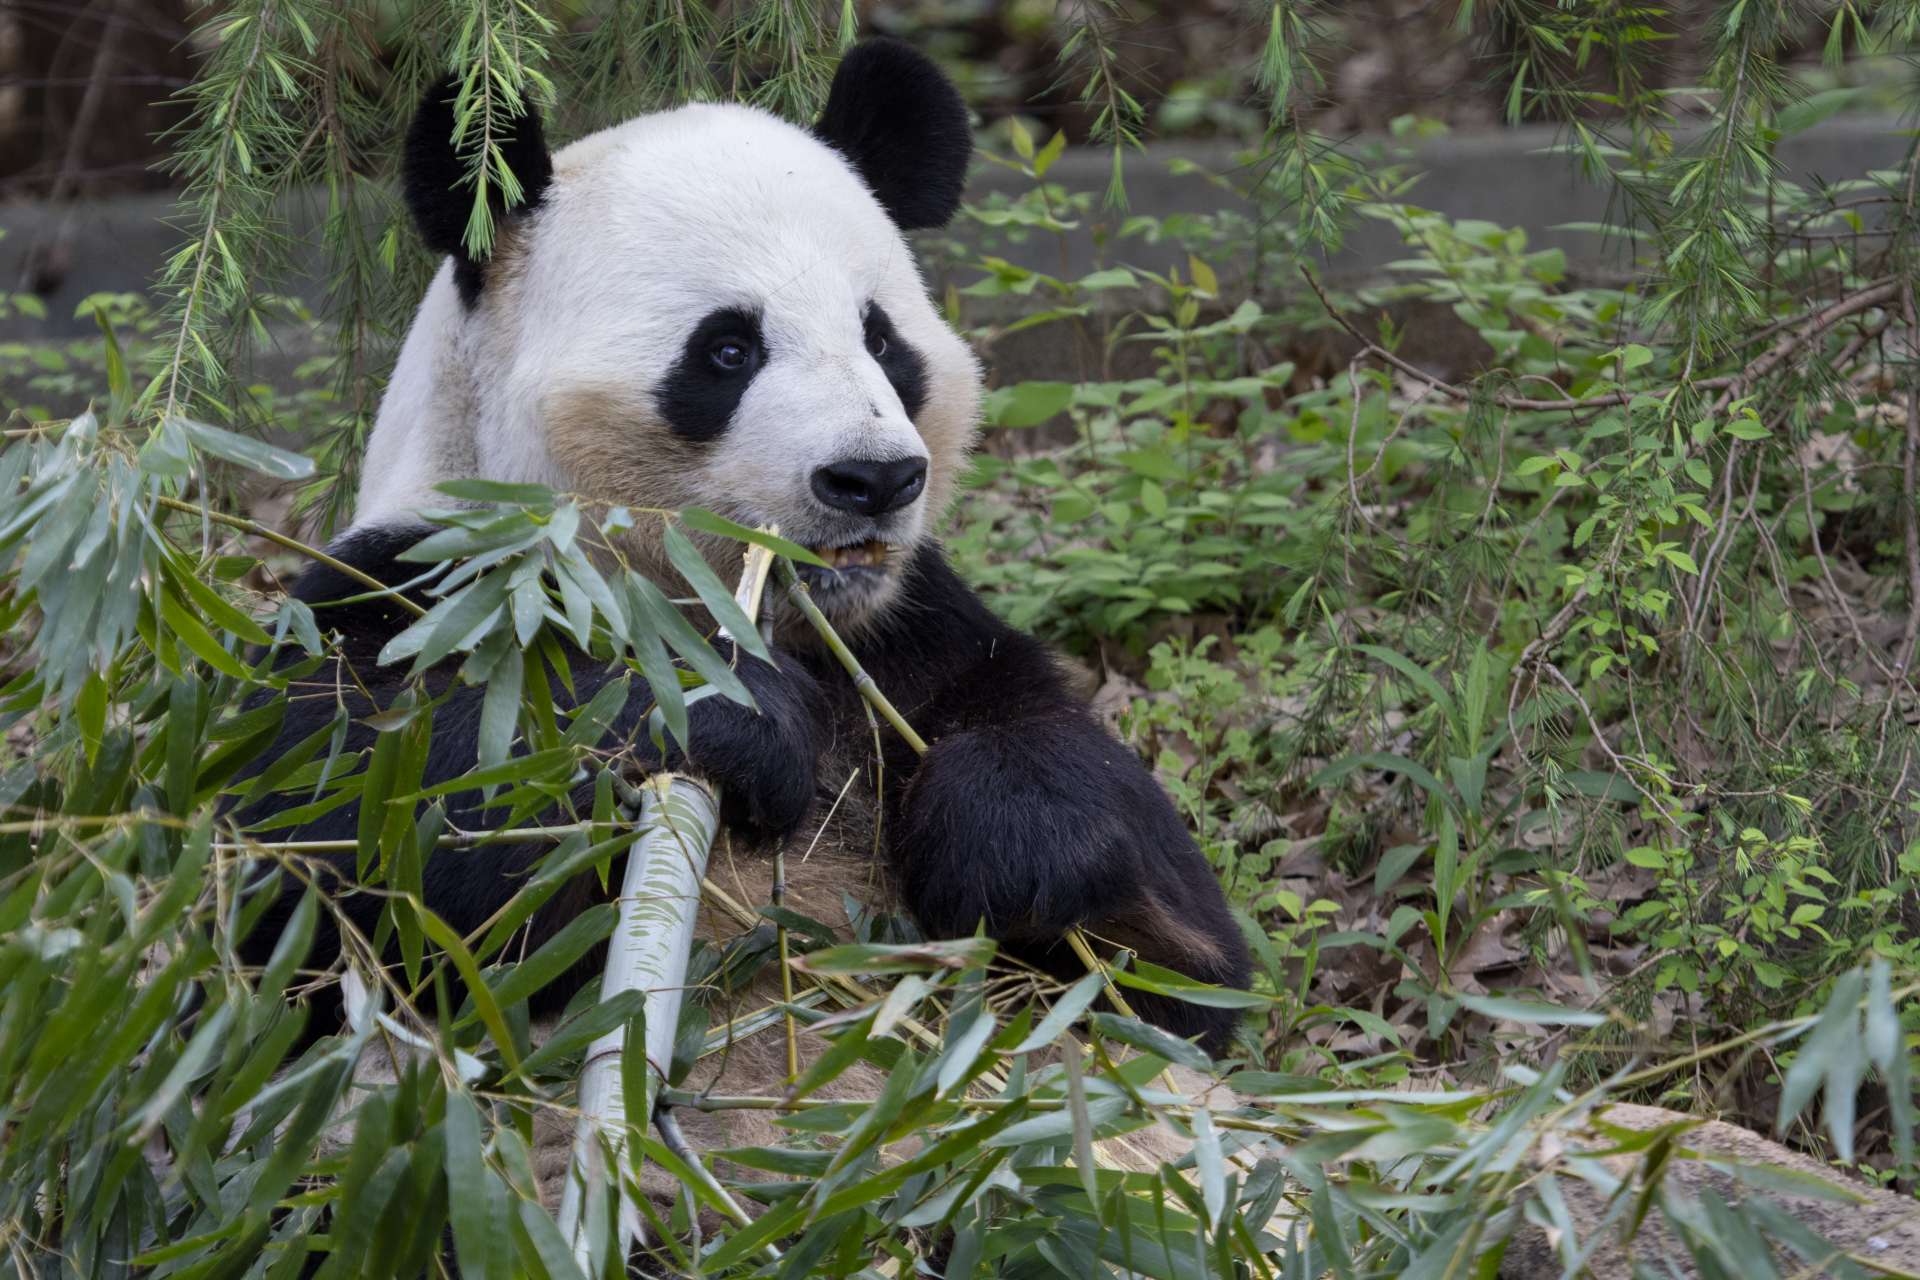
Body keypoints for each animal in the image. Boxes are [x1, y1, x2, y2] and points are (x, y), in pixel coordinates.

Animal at [239, 38, 1251, 1142]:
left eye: (882, 340)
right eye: (728, 349)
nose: (874, 479)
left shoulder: (913, 633)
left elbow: (1178, 967)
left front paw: (1013, 842)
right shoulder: (409, 587)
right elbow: (330, 852)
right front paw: (728, 715)